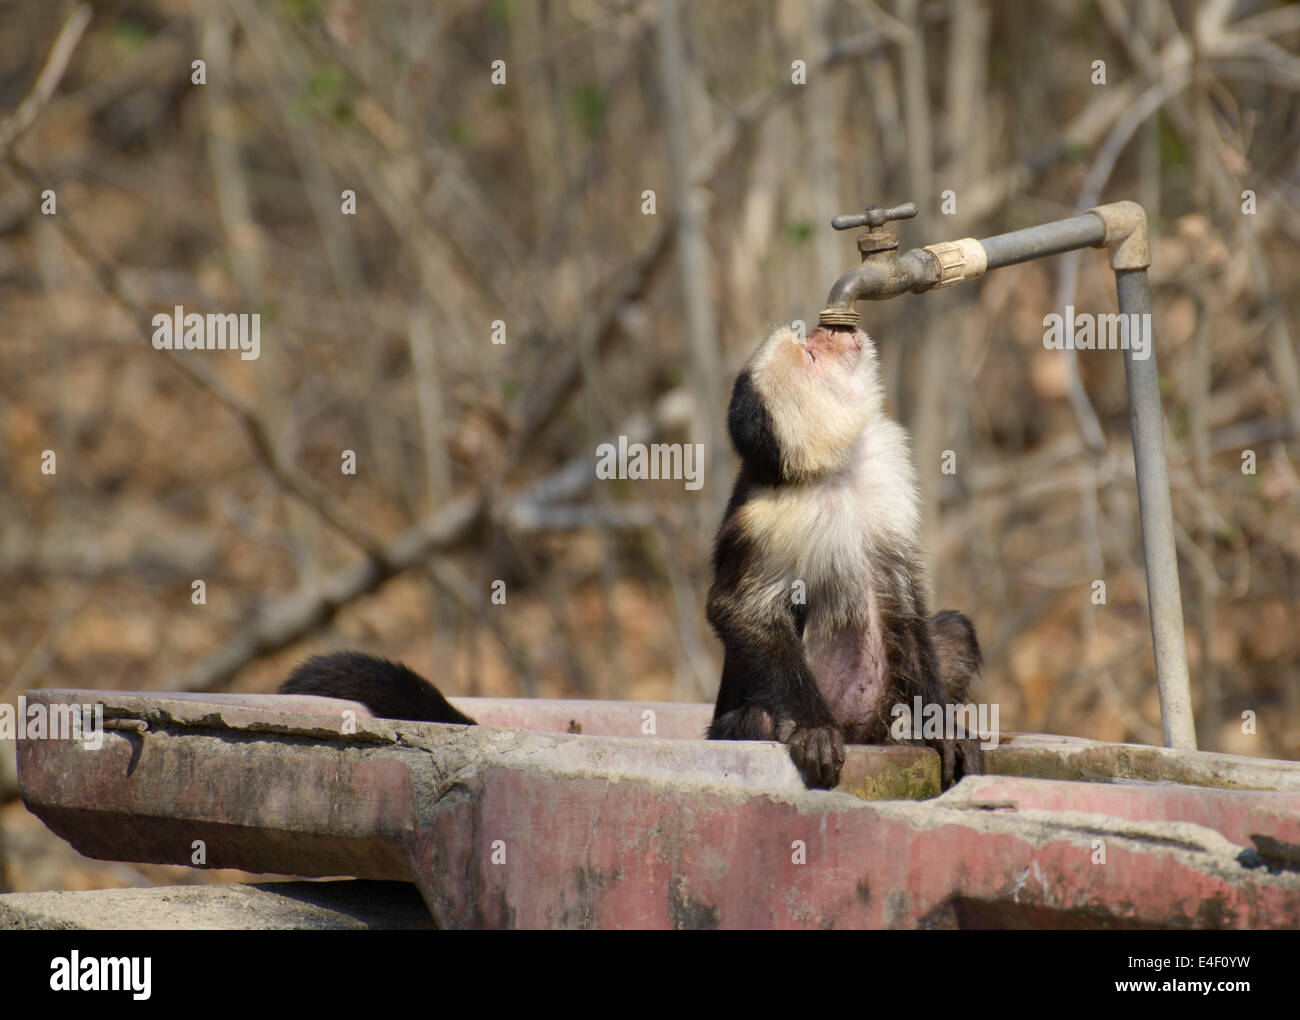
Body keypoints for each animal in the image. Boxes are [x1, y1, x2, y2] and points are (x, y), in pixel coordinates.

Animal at [705, 322, 983, 789]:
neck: (835, 470)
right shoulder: (767, 519)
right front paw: (813, 728)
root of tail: (864, 736)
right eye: (811, 356)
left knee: (954, 631)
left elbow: (905, 592)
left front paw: (941, 728)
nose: (826, 329)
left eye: (809, 339)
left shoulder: (887, 461)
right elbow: (740, 609)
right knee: (757, 719)